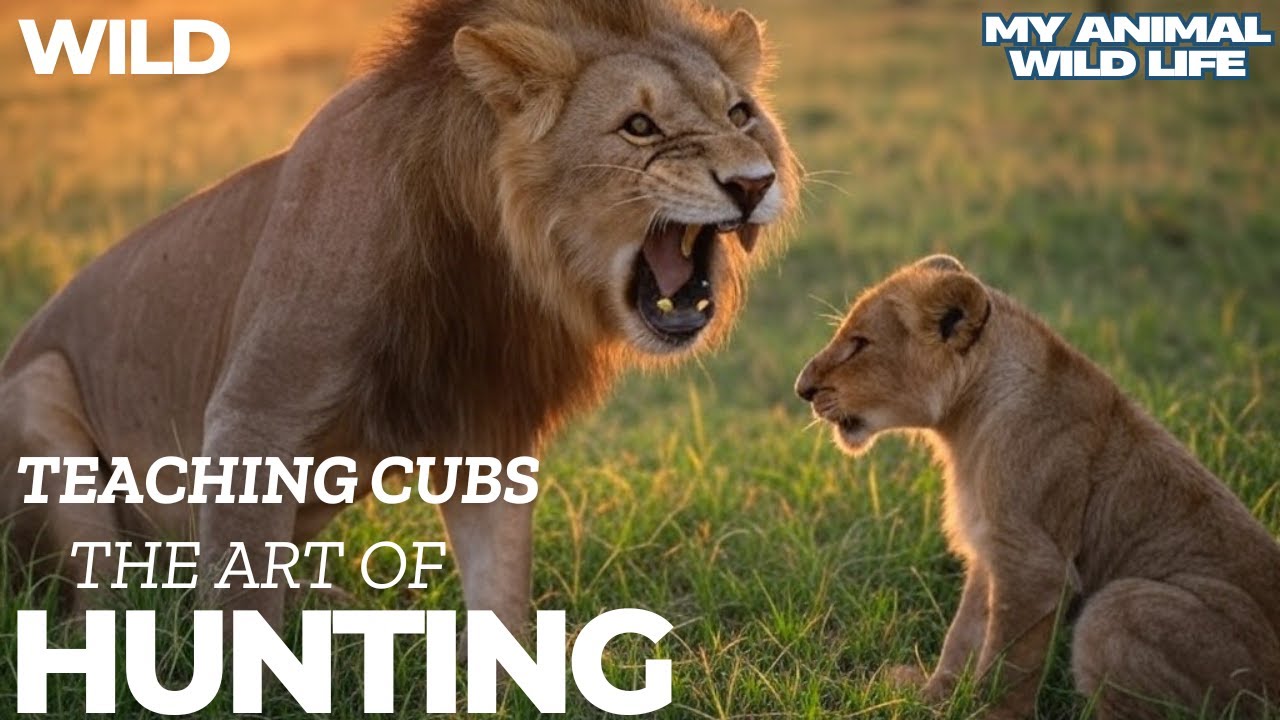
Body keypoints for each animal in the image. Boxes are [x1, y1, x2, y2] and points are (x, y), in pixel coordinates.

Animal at [0, 0, 797, 634]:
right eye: (638, 126)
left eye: (739, 114)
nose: (753, 184)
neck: (498, 258)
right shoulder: (253, 414)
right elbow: (240, 613)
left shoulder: (487, 425)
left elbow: (501, 596)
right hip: (39, 399)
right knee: (95, 606)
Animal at [795, 256, 1280, 719]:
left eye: (860, 344)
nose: (803, 390)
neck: (964, 424)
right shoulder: (989, 548)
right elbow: (963, 636)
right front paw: (932, 700)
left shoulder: (1034, 564)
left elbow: (1007, 664)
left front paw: (986, 714)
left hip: (1117, 610)